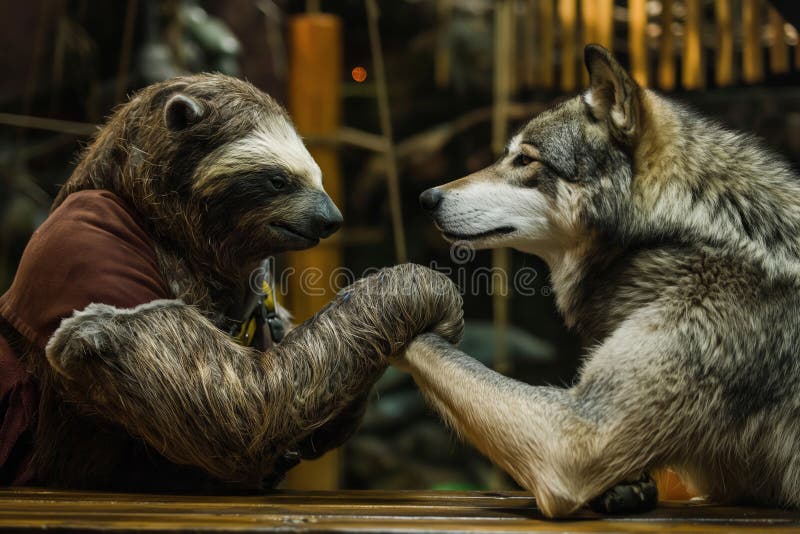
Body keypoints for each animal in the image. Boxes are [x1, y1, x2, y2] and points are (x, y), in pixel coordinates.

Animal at [407, 44, 800, 517]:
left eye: (525, 159)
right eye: (507, 156)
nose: (426, 198)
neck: (683, 233)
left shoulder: (572, 438)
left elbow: (430, 347)